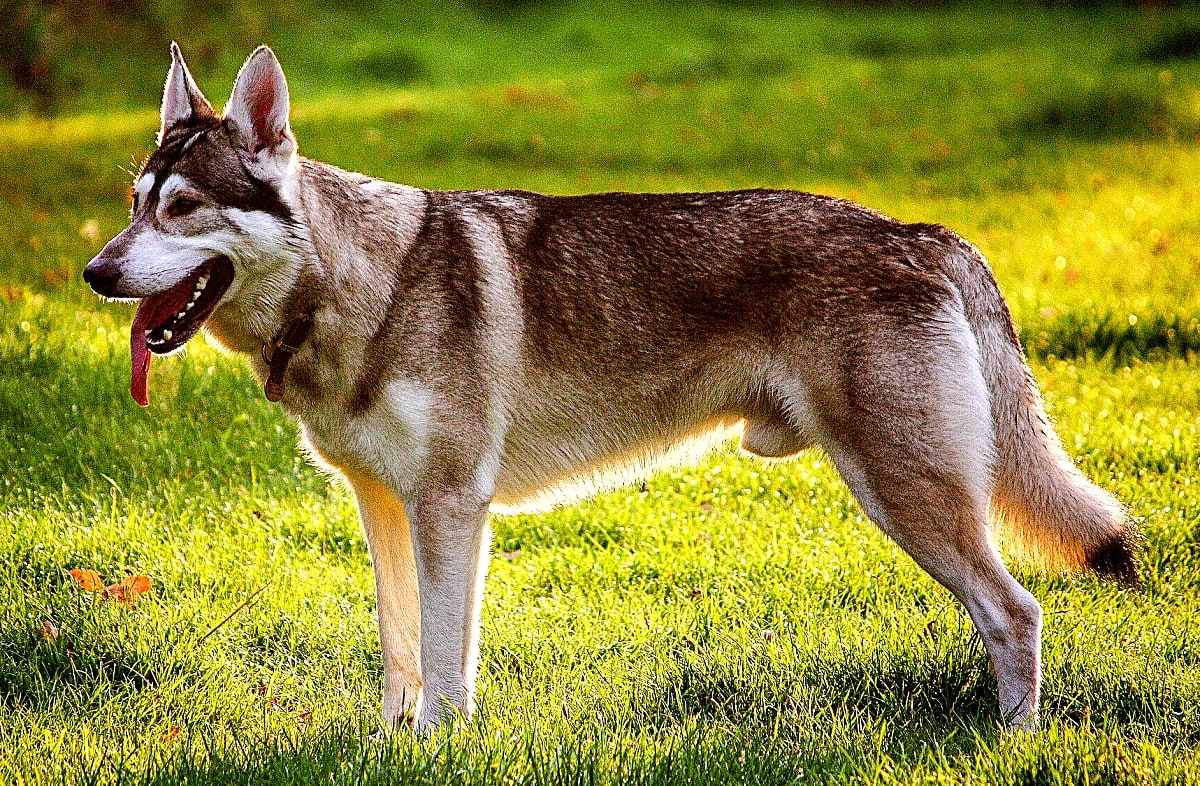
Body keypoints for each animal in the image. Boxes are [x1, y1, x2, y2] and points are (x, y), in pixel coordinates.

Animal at [83, 44, 1138, 732]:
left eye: (184, 208)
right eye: (134, 204)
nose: (96, 273)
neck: (358, 287)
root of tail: (923, 233)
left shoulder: (452, 508)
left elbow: (447, 663)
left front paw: (440, 748)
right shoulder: (382, 503)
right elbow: (400, 653)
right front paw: (392, 746)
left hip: (907, 495)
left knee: (1017, 613)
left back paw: (1014, 740)